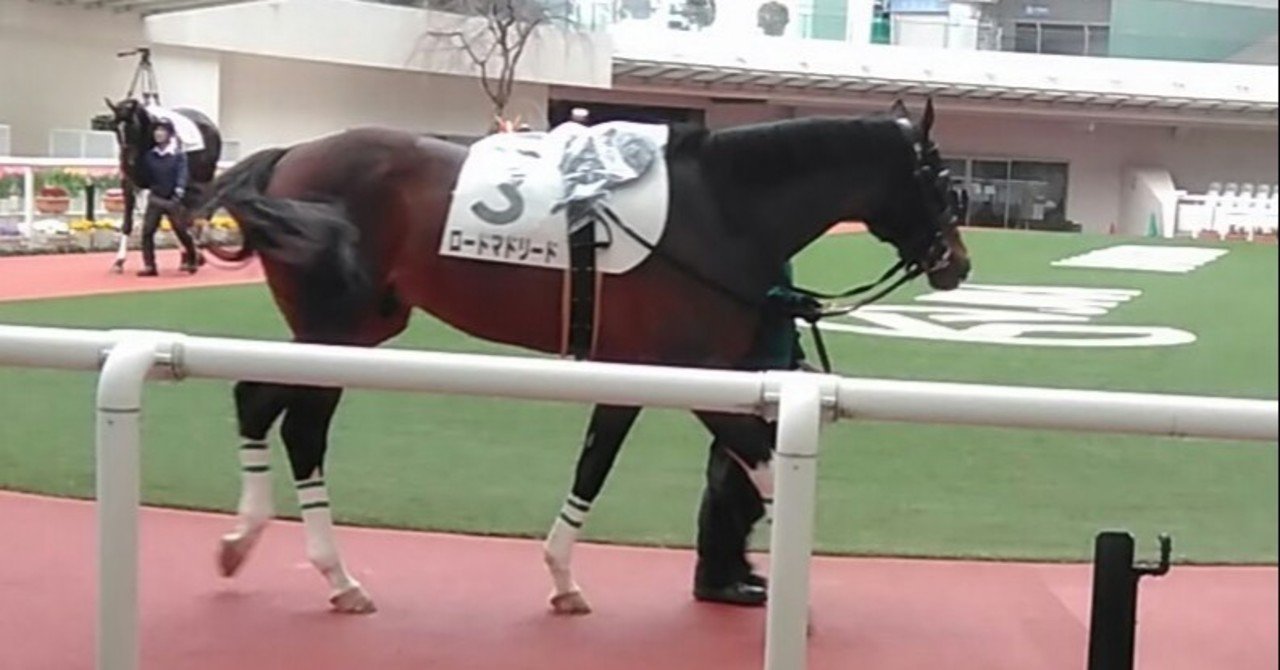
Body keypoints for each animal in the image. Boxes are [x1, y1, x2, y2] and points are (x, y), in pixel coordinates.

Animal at [102, 97, 223, 272]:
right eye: (115, 127)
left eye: (133, 126)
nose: (127, 163)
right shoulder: (130, 183)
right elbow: (128, 222)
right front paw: (119, 261)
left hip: (203, 176)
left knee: (203, 210)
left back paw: (197, 251)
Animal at [195, 99, 971, 615]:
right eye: (942, 180)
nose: (958, 263)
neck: (720, 209)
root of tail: (289, 157)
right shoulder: (697, 374)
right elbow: (765, 465)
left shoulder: (635, 372)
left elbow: (595, 463)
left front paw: (564, 578)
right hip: (334, 329)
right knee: (293, 423)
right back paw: (322, 570)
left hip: (358, 331)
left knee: (264, 405)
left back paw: (258, 547)